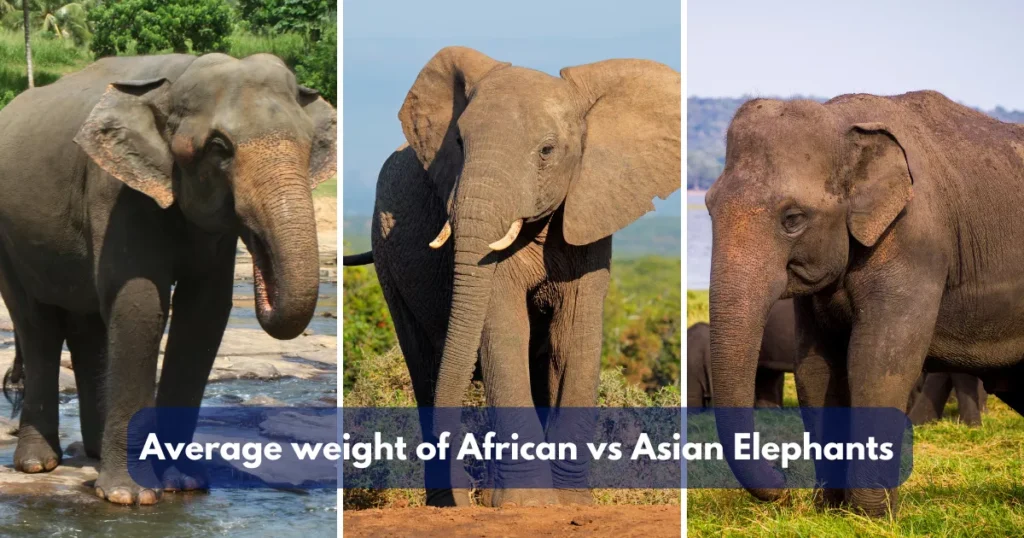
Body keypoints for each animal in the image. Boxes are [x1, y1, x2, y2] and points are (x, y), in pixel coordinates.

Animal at [0, 53, 336, 505]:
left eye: (308, 145)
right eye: (219, 147)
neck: (175, 80)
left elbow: (205, 312)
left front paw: (184, 484)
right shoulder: (117, 189)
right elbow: (139, 301)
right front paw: (130, 496)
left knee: (88, 328)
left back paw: (92, 452)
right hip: (9, 241)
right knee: (37, 326)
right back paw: (38, 464)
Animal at [343, 46, 680, 507]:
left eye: (547, 150)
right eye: (459, 143)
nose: (468, 498)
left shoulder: (590, 215)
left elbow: (573, 337)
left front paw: (571, 504)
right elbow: (503, 330)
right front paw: (528, 504)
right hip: (386, 258)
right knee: (424, 368)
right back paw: (444, 502)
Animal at [705, 90, 1024, 516]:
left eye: (793, 218)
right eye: (709, 207)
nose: (784, 488)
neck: (842, 119)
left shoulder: (915, 240)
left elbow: (877, 362)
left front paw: (871, 516)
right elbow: (816, 368)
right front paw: (830, 512)